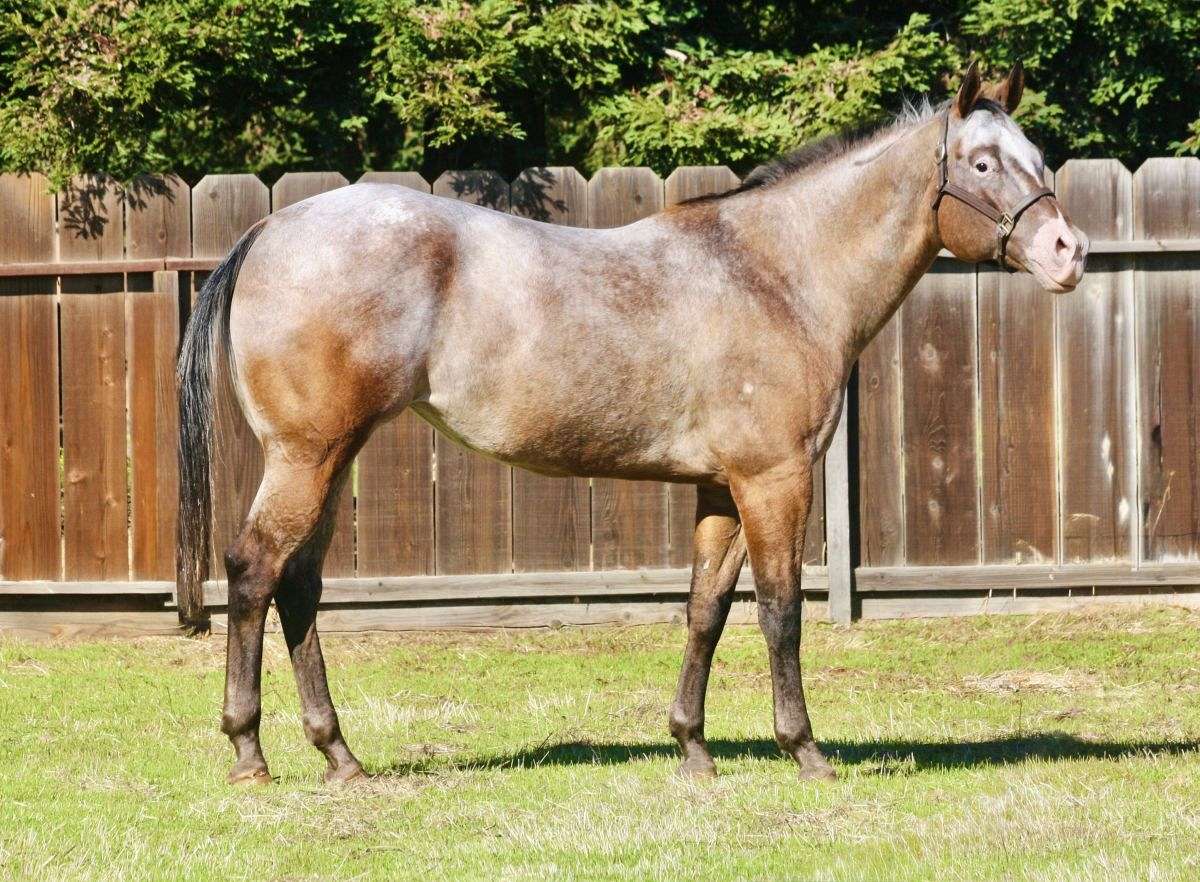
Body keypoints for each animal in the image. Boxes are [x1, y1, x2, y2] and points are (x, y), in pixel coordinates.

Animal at [175, 61, 1088, 785]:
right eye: (981, 162)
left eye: (1039, 160)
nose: (1068, 252)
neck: (776, 273)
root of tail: (271, 226)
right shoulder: (774, 482)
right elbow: (781, 611)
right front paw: (805, 751)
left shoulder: (721, 489)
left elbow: (704, 612)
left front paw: (693, 750)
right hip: (307, 457)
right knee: (254, 571)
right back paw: (249, 753)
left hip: (333, 459)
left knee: (299, 585)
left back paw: (339, 755)